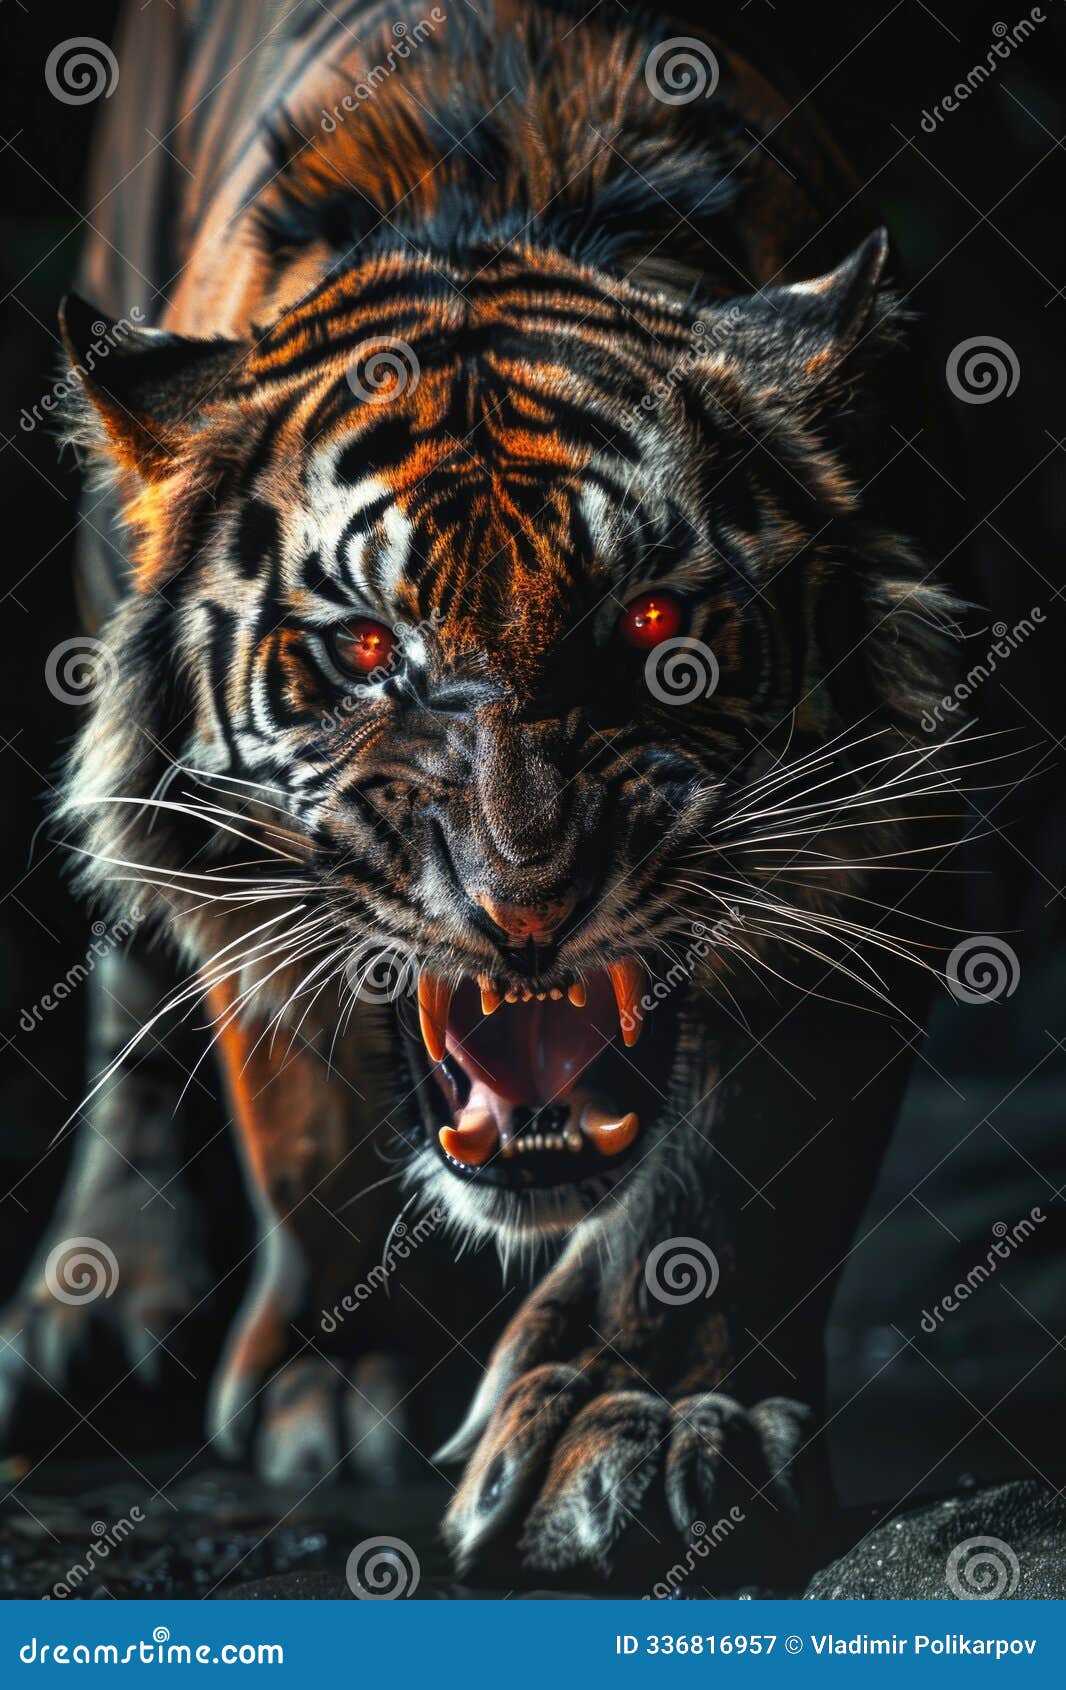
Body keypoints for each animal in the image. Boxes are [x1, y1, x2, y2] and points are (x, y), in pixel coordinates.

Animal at [1, 0, 964, 1587]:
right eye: (362, 648)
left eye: (654, 629)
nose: (523, 912)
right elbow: (301, 1113)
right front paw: (347, 1380)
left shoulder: (879, 840)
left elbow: (725, 1173)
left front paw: (637, 1416)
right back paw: (97, 1308)